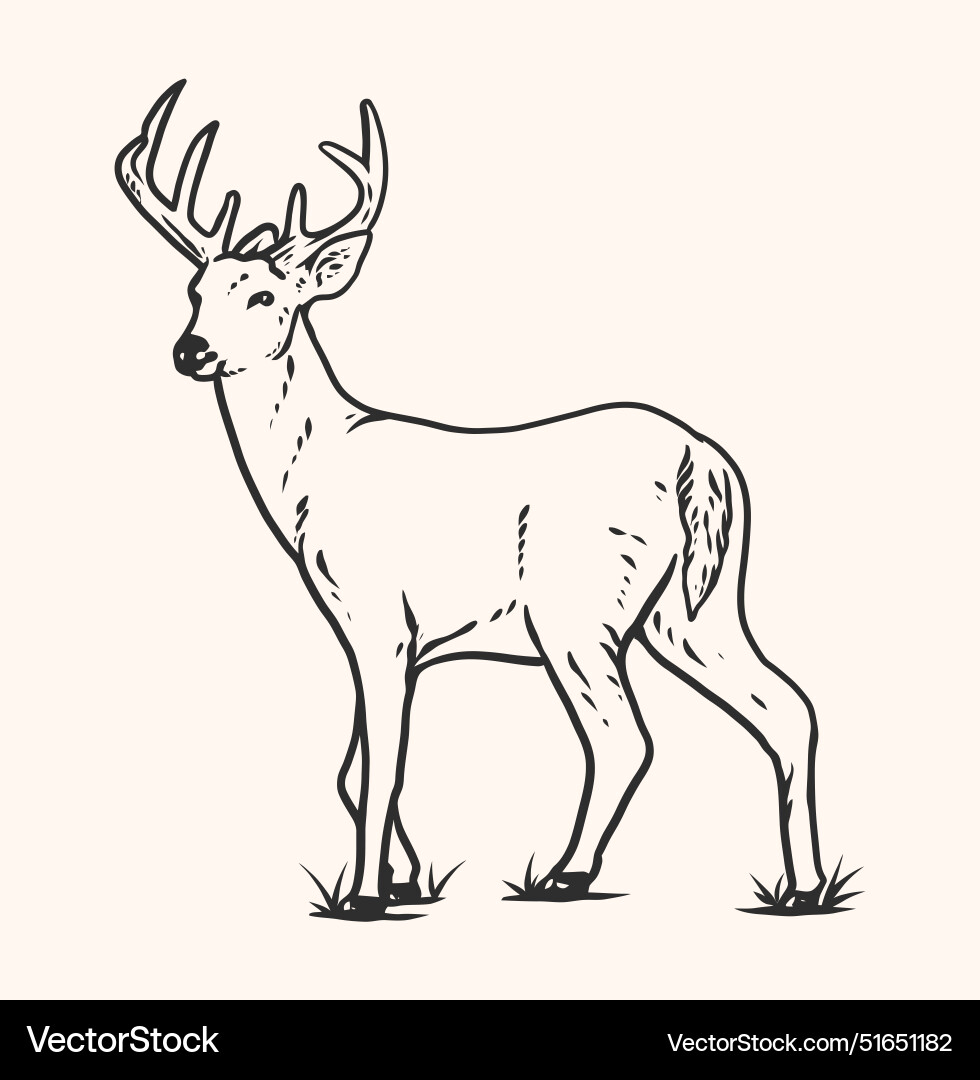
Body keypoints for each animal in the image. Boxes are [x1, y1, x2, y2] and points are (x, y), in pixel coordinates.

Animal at [116, 81, 826, 917]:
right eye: (196, 289)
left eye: (263, 294)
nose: (190, 350)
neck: (315, 473)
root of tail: (702, 459)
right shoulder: (378, 630)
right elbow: (354, 770)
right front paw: (404, 875)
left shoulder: (378, 615)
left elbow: (382, 765)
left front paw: (365, 894)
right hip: (693, 606)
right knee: (786, 706)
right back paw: (803, 885)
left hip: (580, 605)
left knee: (624, 735)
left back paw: (564, 873)